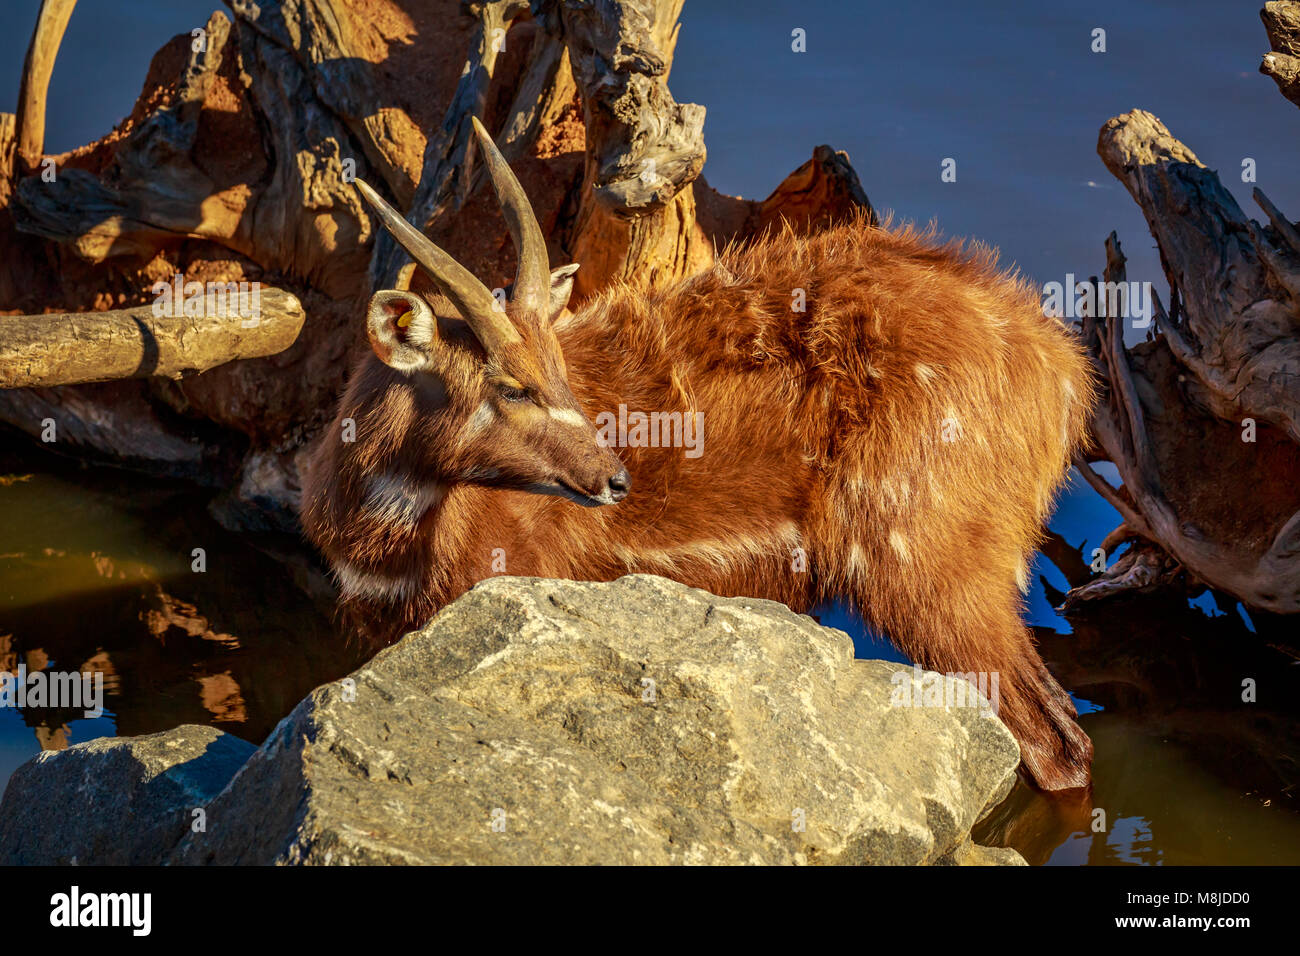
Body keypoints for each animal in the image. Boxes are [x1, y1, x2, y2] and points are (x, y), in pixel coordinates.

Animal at [302, 118, 1097, 791]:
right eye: (511, 385)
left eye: (556, 370)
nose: (612, 477)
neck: (382, 546)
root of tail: (1060, 365)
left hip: (924, 562)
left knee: (1056, 743)